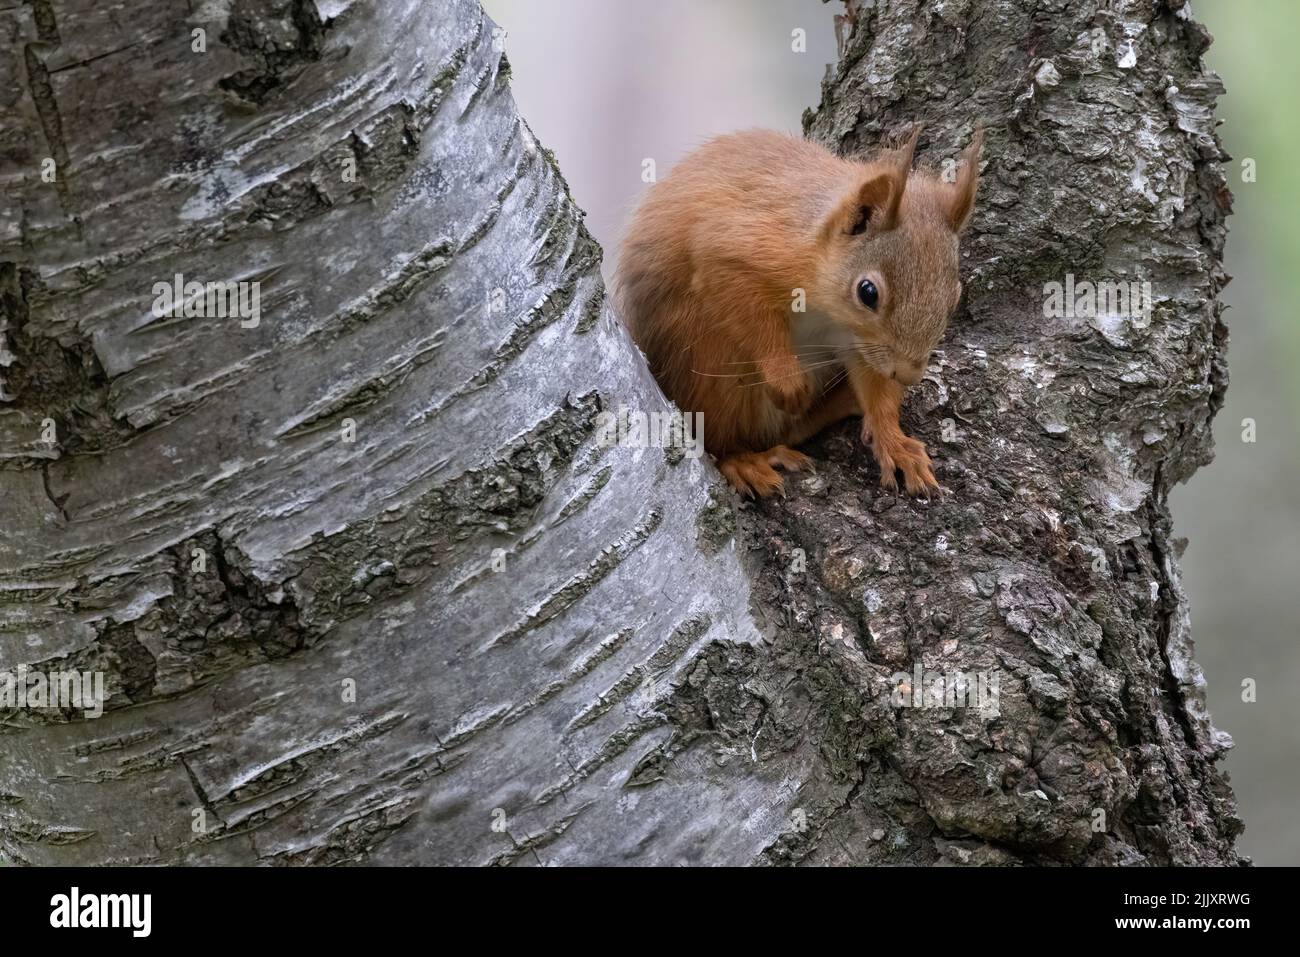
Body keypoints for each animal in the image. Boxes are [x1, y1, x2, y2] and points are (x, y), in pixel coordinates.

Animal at [615, 126, 981, 497]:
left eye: (955, 297)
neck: (829, 309)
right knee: (721, 438)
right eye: (868, 292)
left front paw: (894, 442)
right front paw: (786, 380)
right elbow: (746, 308)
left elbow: (878, 389)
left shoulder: (862, 343)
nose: (907, 376)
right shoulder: (739, 252)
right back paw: (745, 461)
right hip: (712, 366)